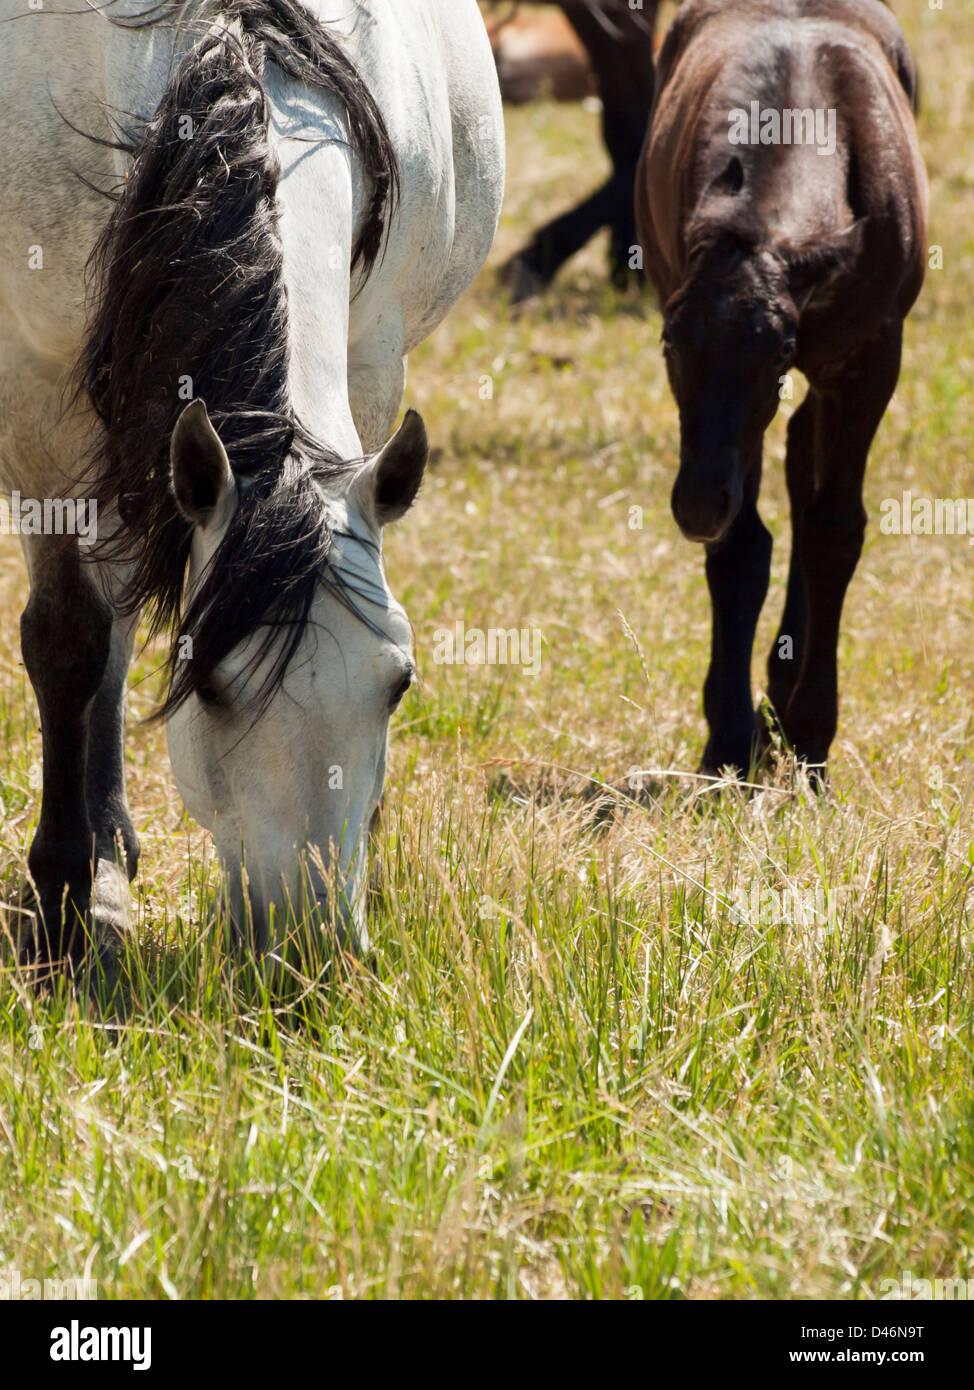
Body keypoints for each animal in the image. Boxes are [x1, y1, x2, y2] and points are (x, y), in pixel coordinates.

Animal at [0, 0, 504, 979]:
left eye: (399, 686)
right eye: (208, 685)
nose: (311, 957)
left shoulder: (373, 359)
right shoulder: (37, 393)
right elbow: (68, 640)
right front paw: (65, 907)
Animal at [635, 0, 926, 782]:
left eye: (780, 351)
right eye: (670, 342)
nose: (694, 503)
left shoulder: (871, 357)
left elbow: (835, 527)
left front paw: (812, 730)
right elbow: (742, 542)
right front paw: (729, 740)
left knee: (805, 463)